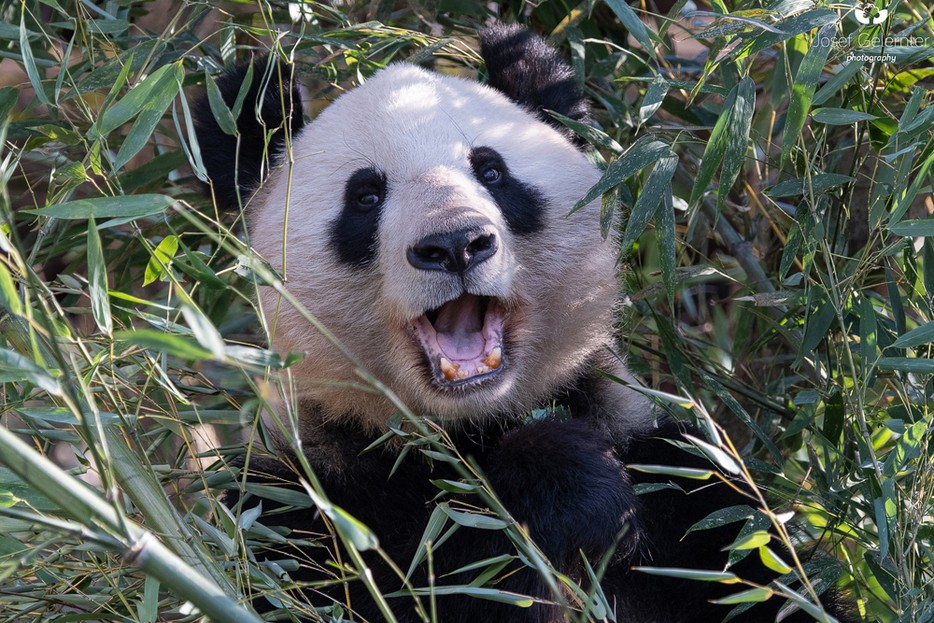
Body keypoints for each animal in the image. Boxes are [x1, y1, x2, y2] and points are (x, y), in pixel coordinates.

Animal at [195, 24, 849, 623]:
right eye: (365, 196)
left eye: (491, 171)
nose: (455, 244)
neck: (475, 425)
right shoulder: (300, 506)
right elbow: (417, 579)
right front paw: (559, 485)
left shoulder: (681, 483)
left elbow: (757, 581)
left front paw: (570, 486)